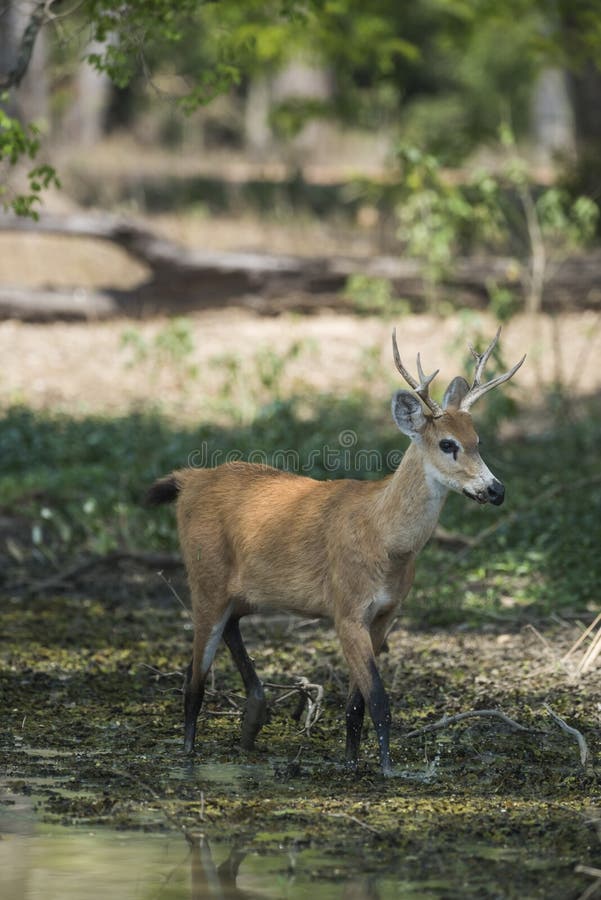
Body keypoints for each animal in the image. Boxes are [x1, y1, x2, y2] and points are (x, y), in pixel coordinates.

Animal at [147, 328, 525, 775]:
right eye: (448, 444)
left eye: (477, 440)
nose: (496, 490)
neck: (385, 539)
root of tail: (189, 480)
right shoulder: (346, 609)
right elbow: (379, 699)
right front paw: (388, 769)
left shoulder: (386, 614)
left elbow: (356, 704)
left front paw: (351, 762)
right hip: (204, 575)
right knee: (194, 679)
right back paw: (190, 750)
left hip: (242, 589)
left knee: (231, 626)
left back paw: (254, 715)